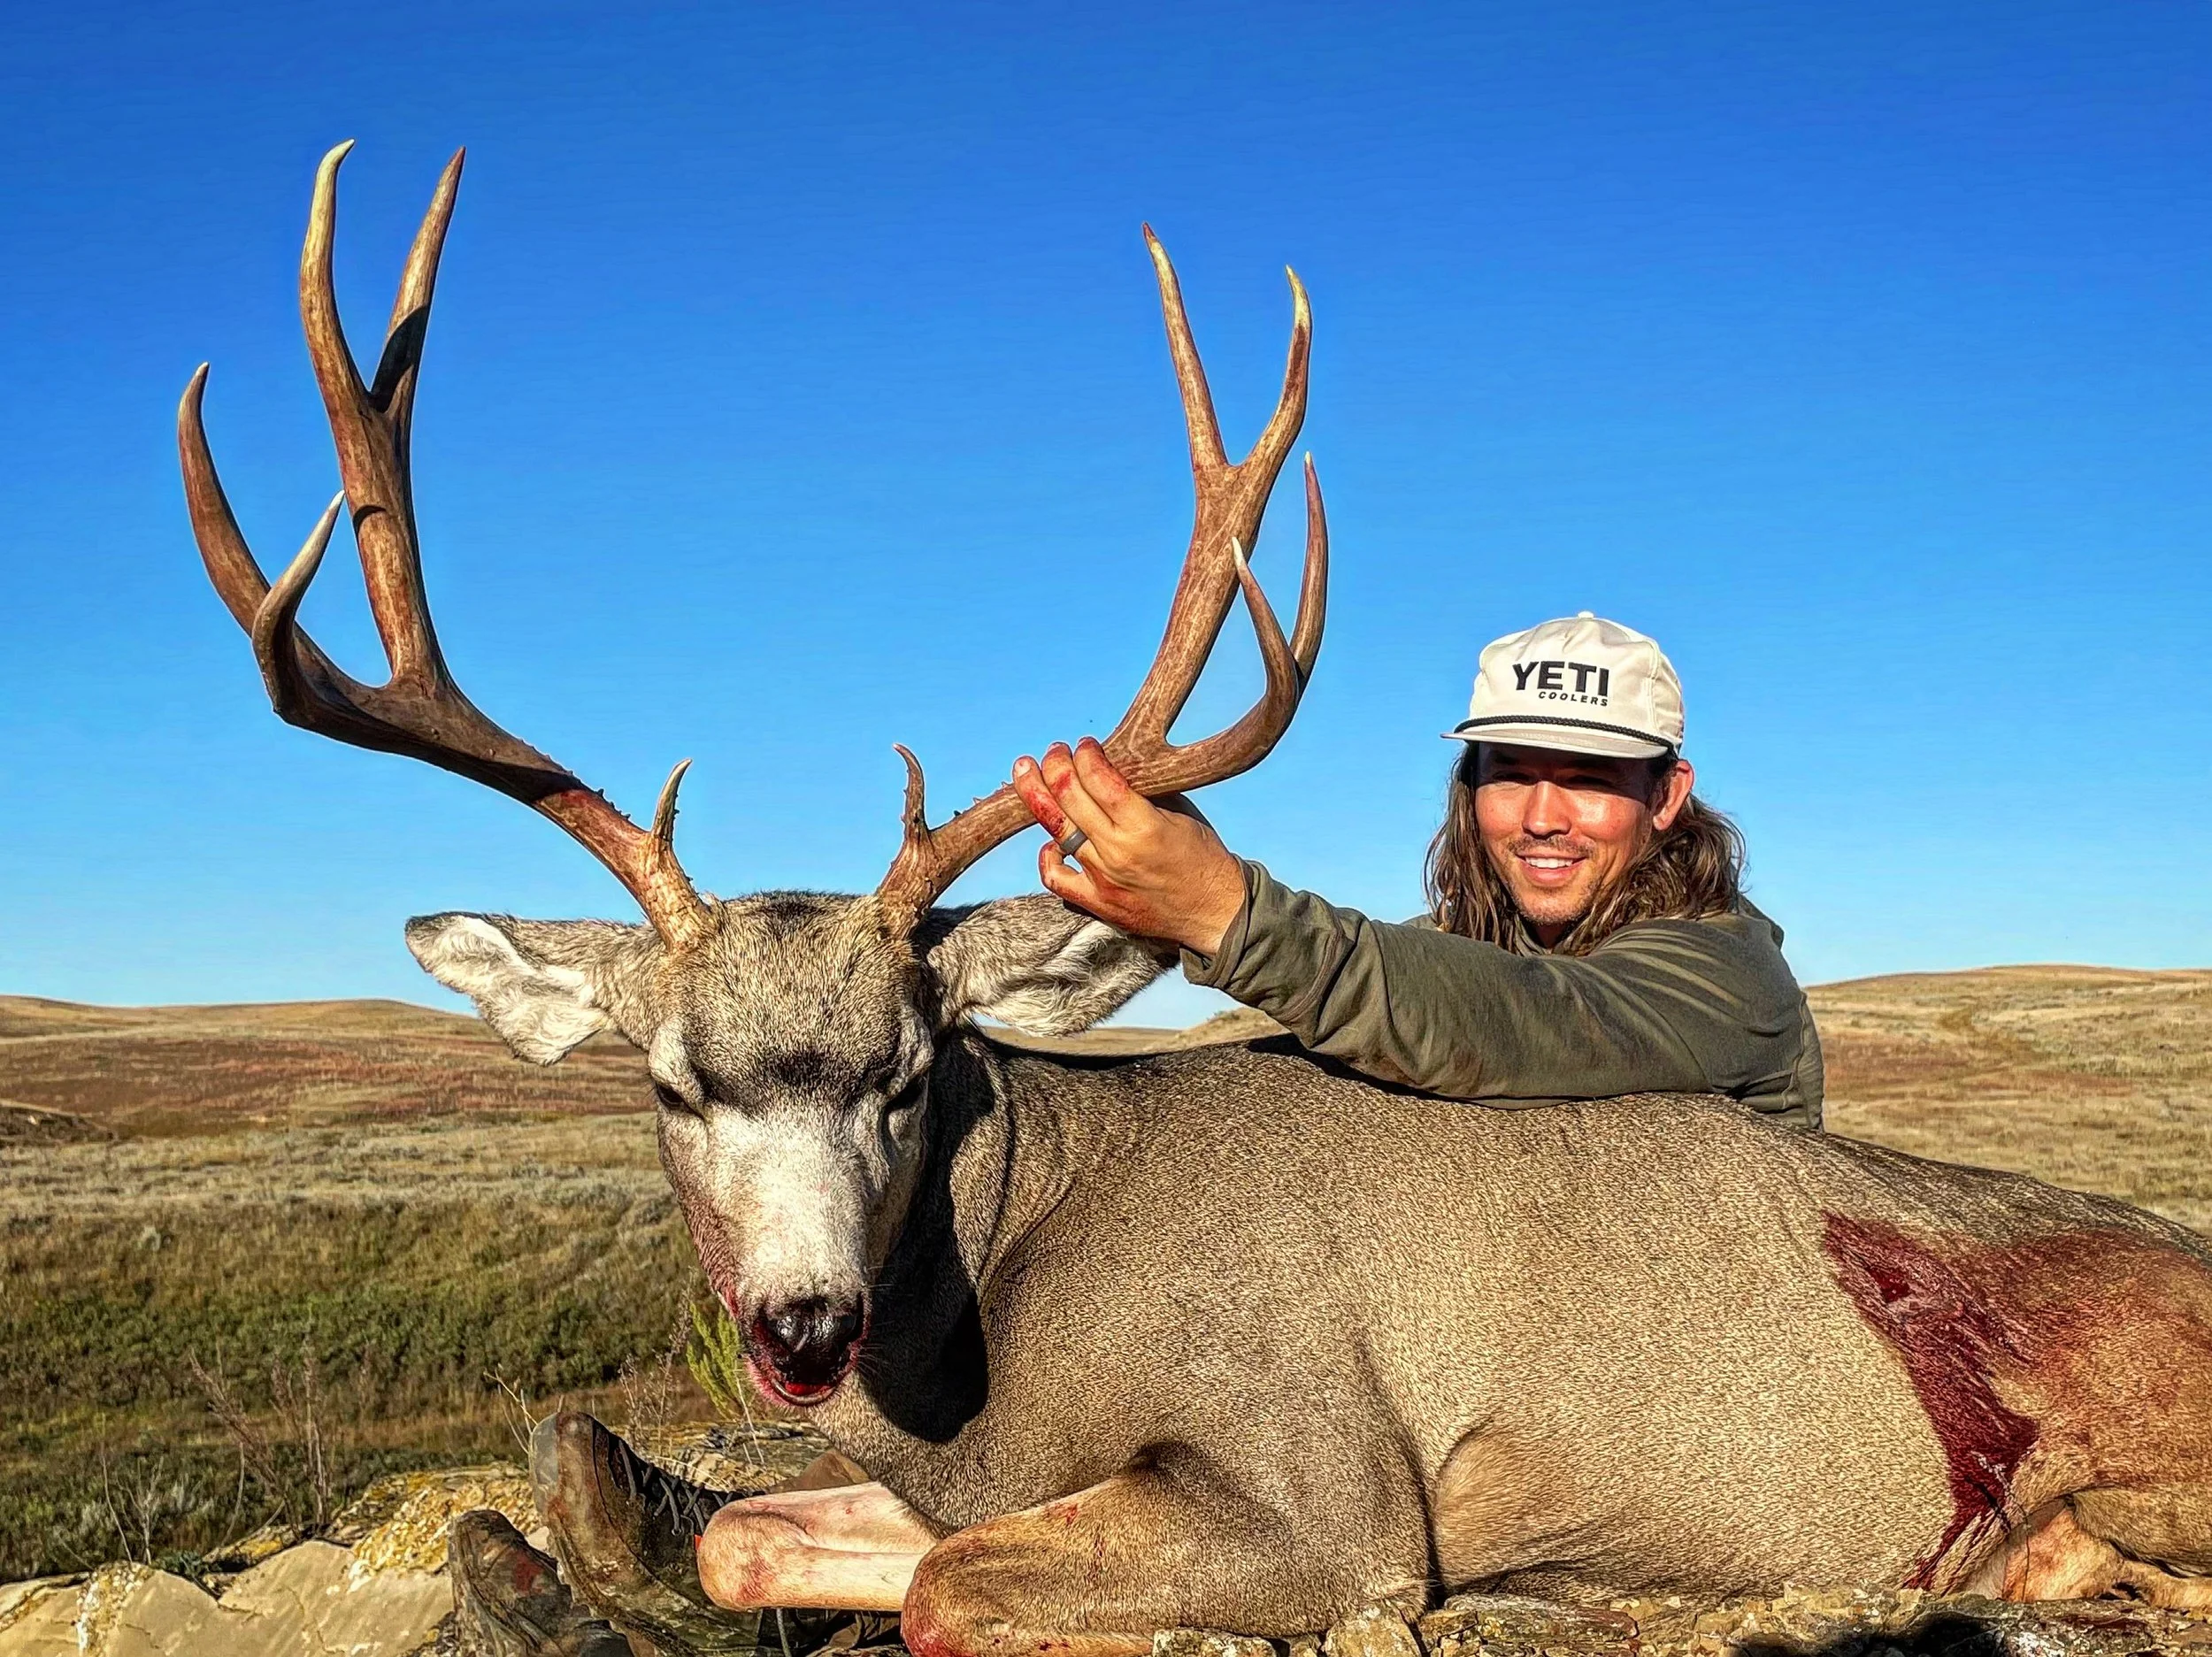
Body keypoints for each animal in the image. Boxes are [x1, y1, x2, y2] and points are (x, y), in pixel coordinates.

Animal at [181, 144, 2212, 1657]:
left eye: (912, 1070)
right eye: (675, 1082)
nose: (802, 1323)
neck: (999, 1322)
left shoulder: (1326, 1479)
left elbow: (945, 1588)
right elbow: (780, 1537)